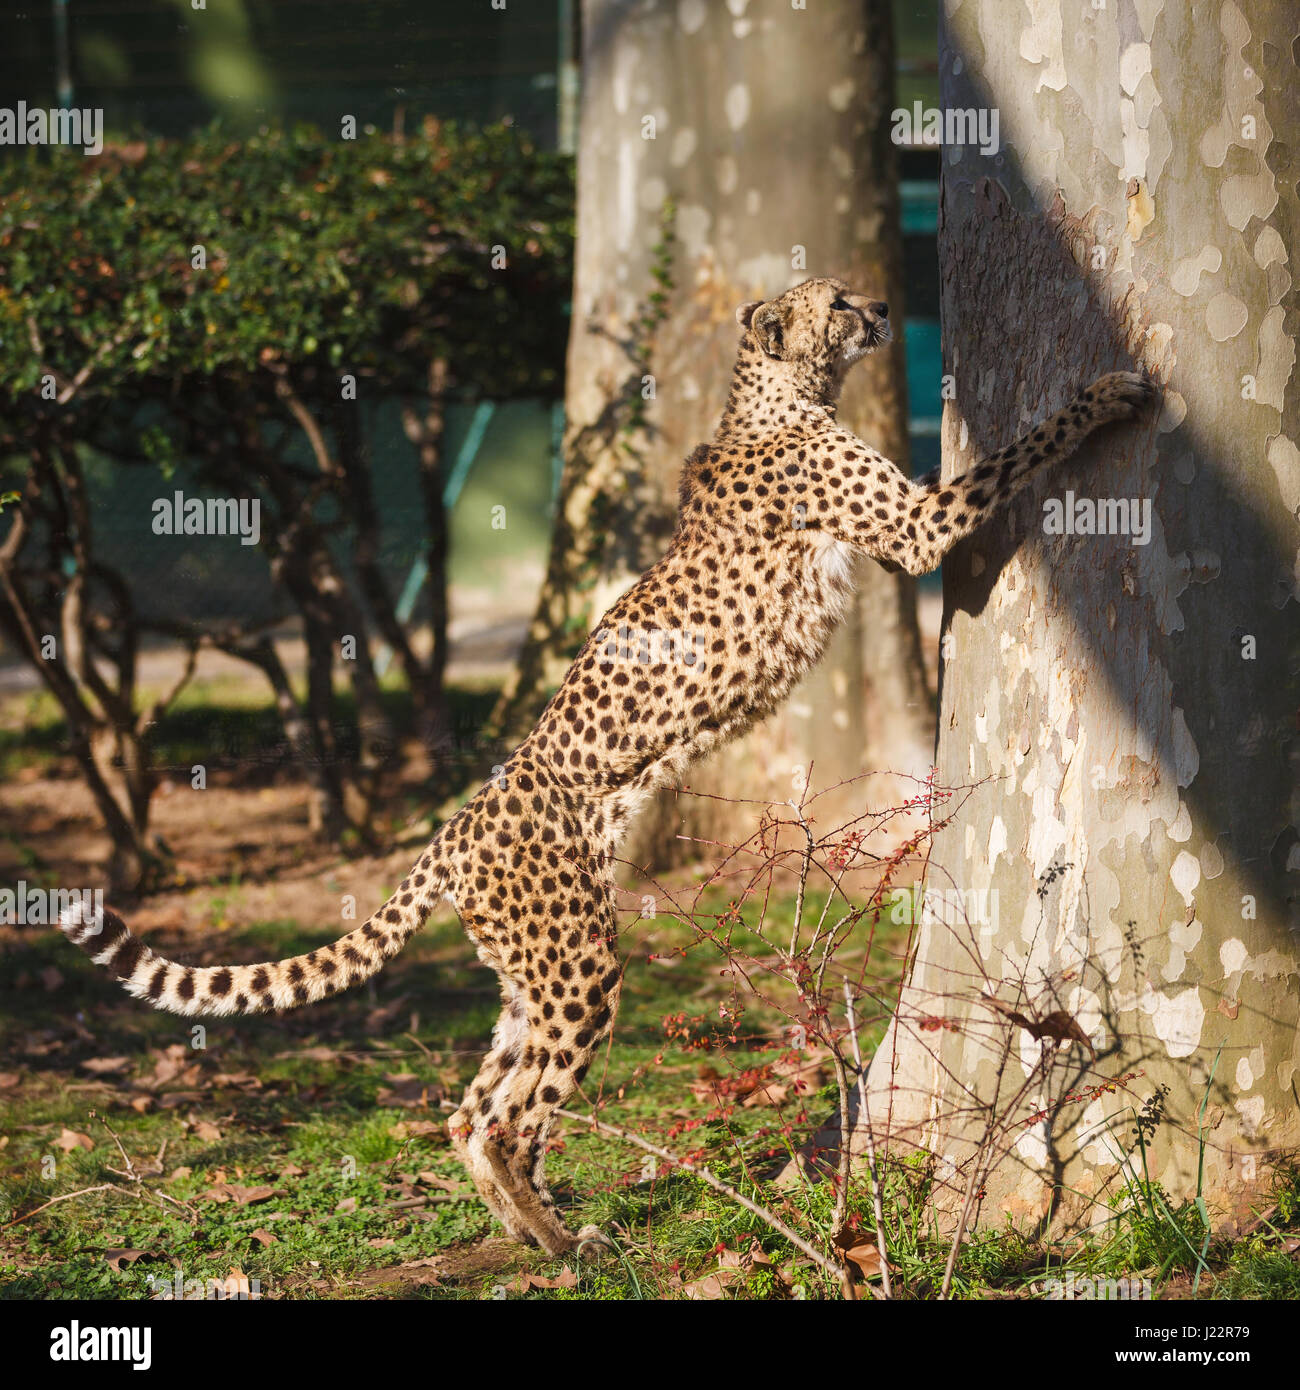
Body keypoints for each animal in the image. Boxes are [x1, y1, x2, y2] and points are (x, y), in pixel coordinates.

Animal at [61, 276, 1156, 1254]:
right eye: (837, 300)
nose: (886, 308)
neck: (774, 388)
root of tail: (456, 823)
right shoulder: (918, 527)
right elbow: (1018, 448)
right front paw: (1108, 393)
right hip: (578, 964)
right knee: (508, 1116)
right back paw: (565, 1245)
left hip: (529, 976)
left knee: (468, 1107)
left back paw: (537, 1228)